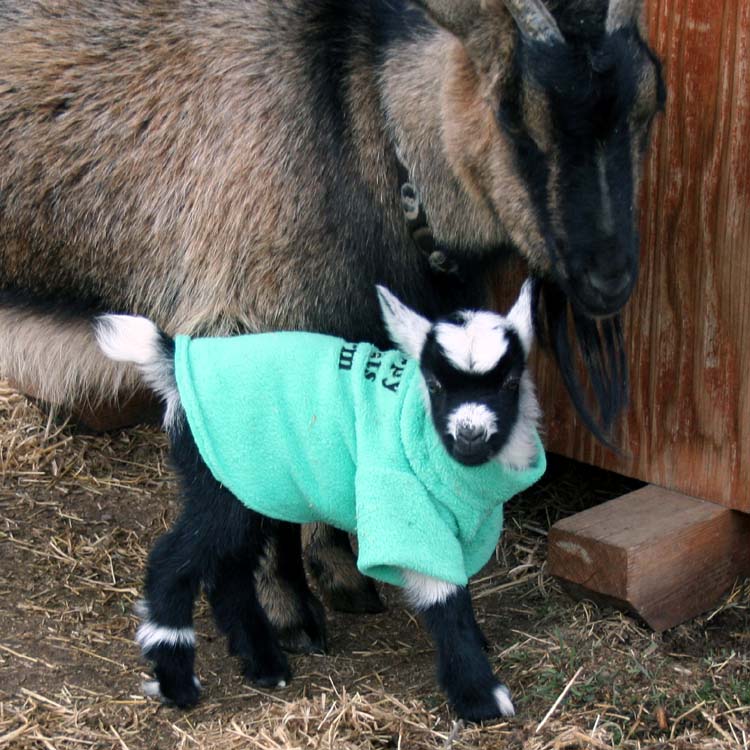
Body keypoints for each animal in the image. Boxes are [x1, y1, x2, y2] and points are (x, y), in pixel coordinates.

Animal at [0, 0, 664, 637]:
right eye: (513, 114)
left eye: (649, 103)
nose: (609, 277)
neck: (356, 118)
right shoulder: (247, 317)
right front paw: (289, 610)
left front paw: (342, 572)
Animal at [94, 281, 545, 721]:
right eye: (435, 385)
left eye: (510, 383)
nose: (470, 436)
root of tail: (173, 359)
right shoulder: (403, 507)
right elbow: (443, 596)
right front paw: (480, 697)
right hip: (220, 481)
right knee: (172, 560)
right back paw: (178, 680)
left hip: (250, 485)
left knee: (229, 569)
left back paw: (264, 664)